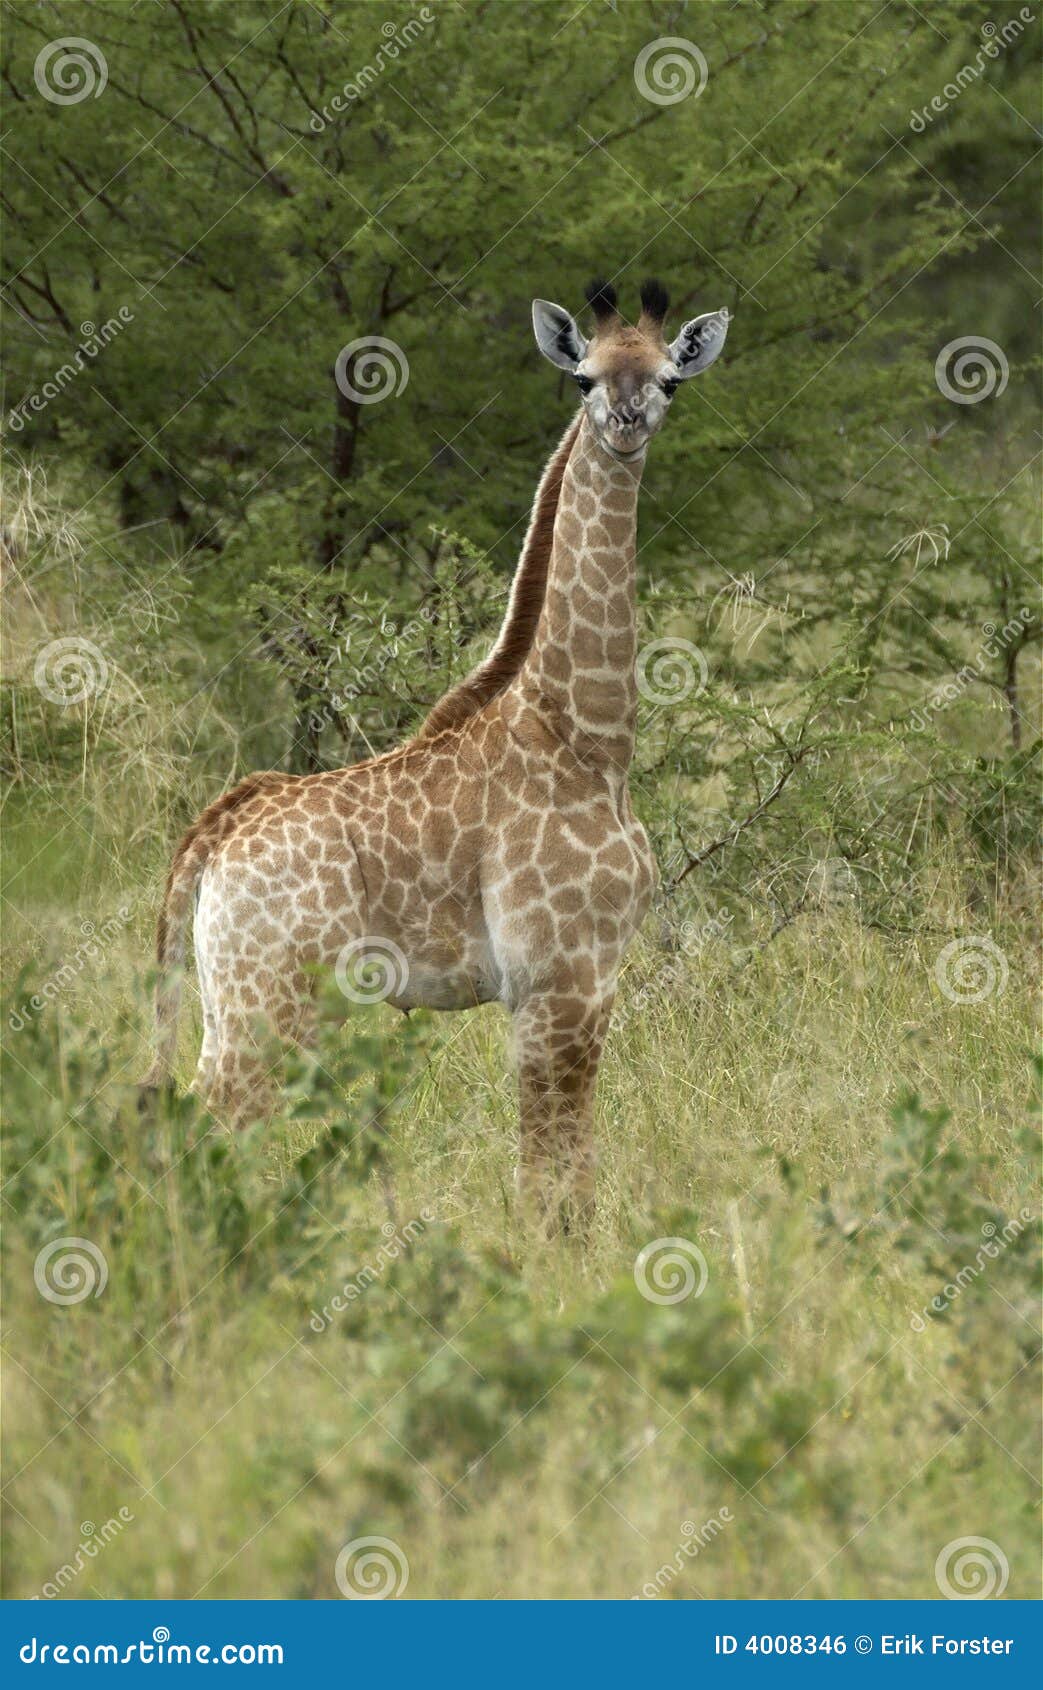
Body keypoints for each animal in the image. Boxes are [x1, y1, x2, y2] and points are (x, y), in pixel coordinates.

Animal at [144, 277, 729, 1226]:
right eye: (583, 378)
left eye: (669, 379)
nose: (626, 419)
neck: (587, 735)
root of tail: (217, 830)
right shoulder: (562, 979)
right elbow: (550, 1173)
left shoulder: (571, 983)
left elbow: (563, 1165)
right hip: (273, 1003)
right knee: (201, 1134)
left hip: (221, 1000)